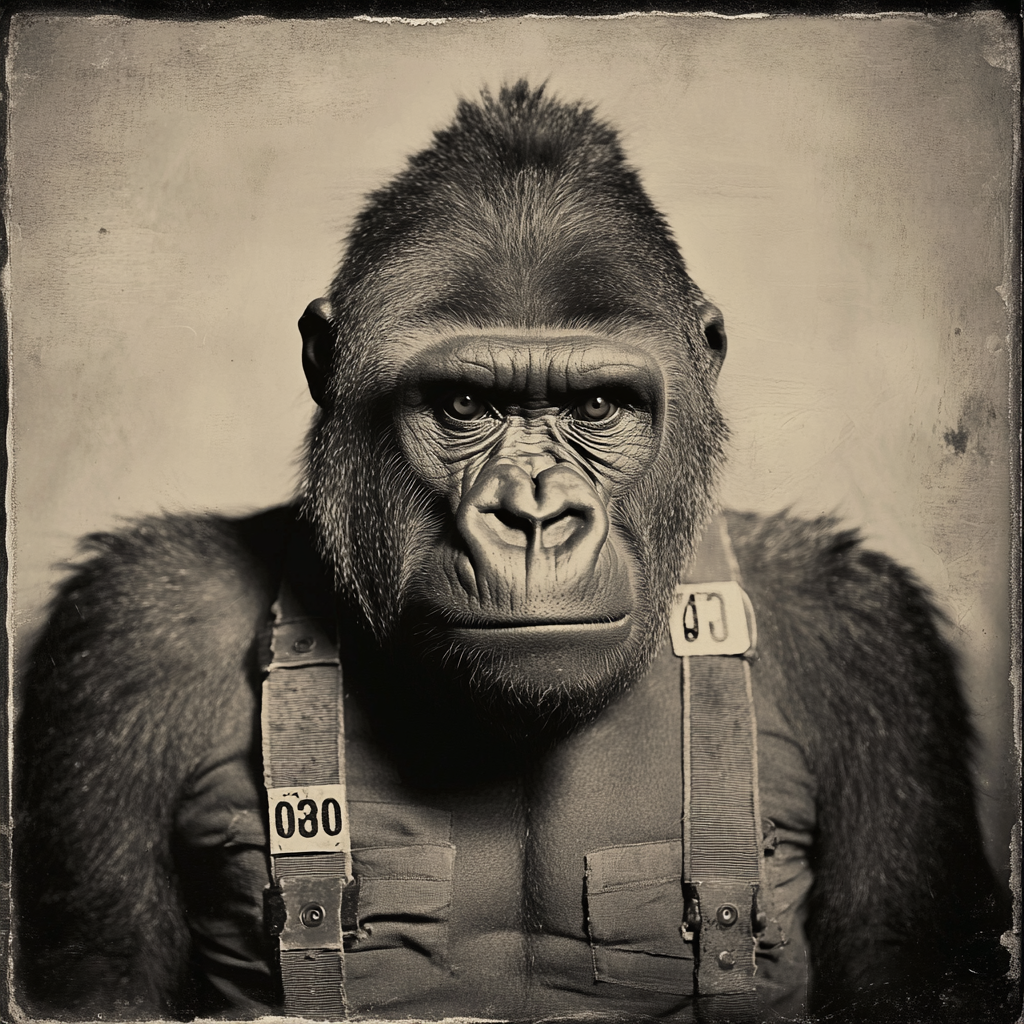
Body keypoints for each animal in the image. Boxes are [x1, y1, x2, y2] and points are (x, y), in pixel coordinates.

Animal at [14, 82, 1013, 1023]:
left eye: (597, 407)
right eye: (465, 405)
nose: (534, 514)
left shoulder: (860, 634)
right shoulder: (136, 627)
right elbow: (104, 970)